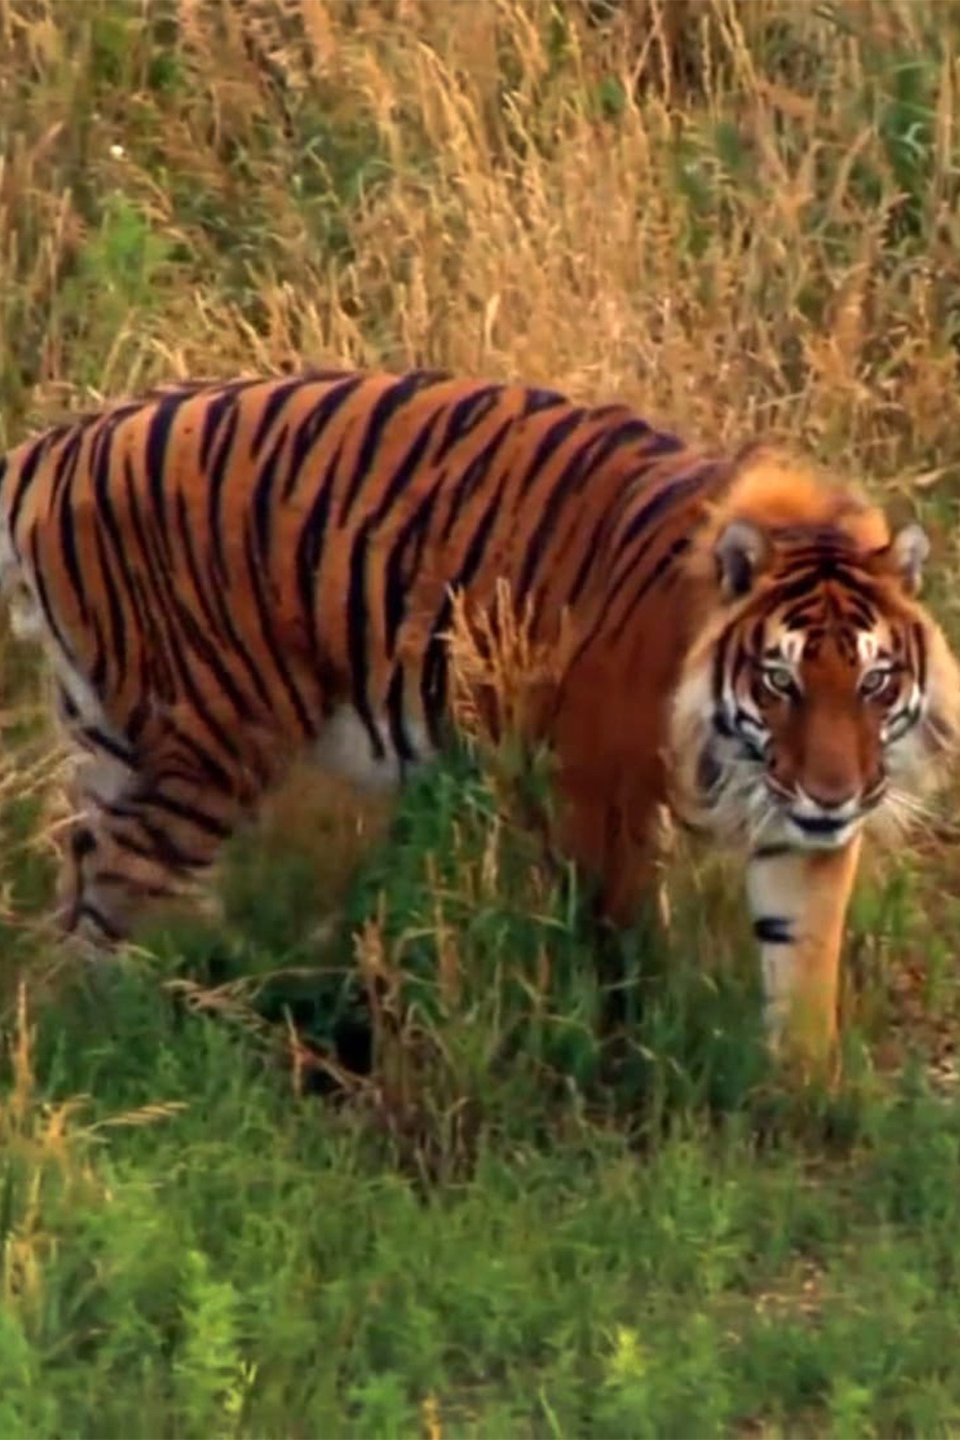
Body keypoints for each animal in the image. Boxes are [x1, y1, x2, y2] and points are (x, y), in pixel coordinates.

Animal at [0, 369, 957, 1070]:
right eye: (780, 681)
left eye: (874, 683)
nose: (835, 796)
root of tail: (58, 443)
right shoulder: (595, 793)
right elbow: (622, 946)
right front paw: (627, 1068)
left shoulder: (798, 839)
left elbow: (802, 963)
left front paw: (802, 1099)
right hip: (213, 737)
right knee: (114, 885)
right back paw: (111, 1044)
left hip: (109, 735)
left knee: (79, 876)